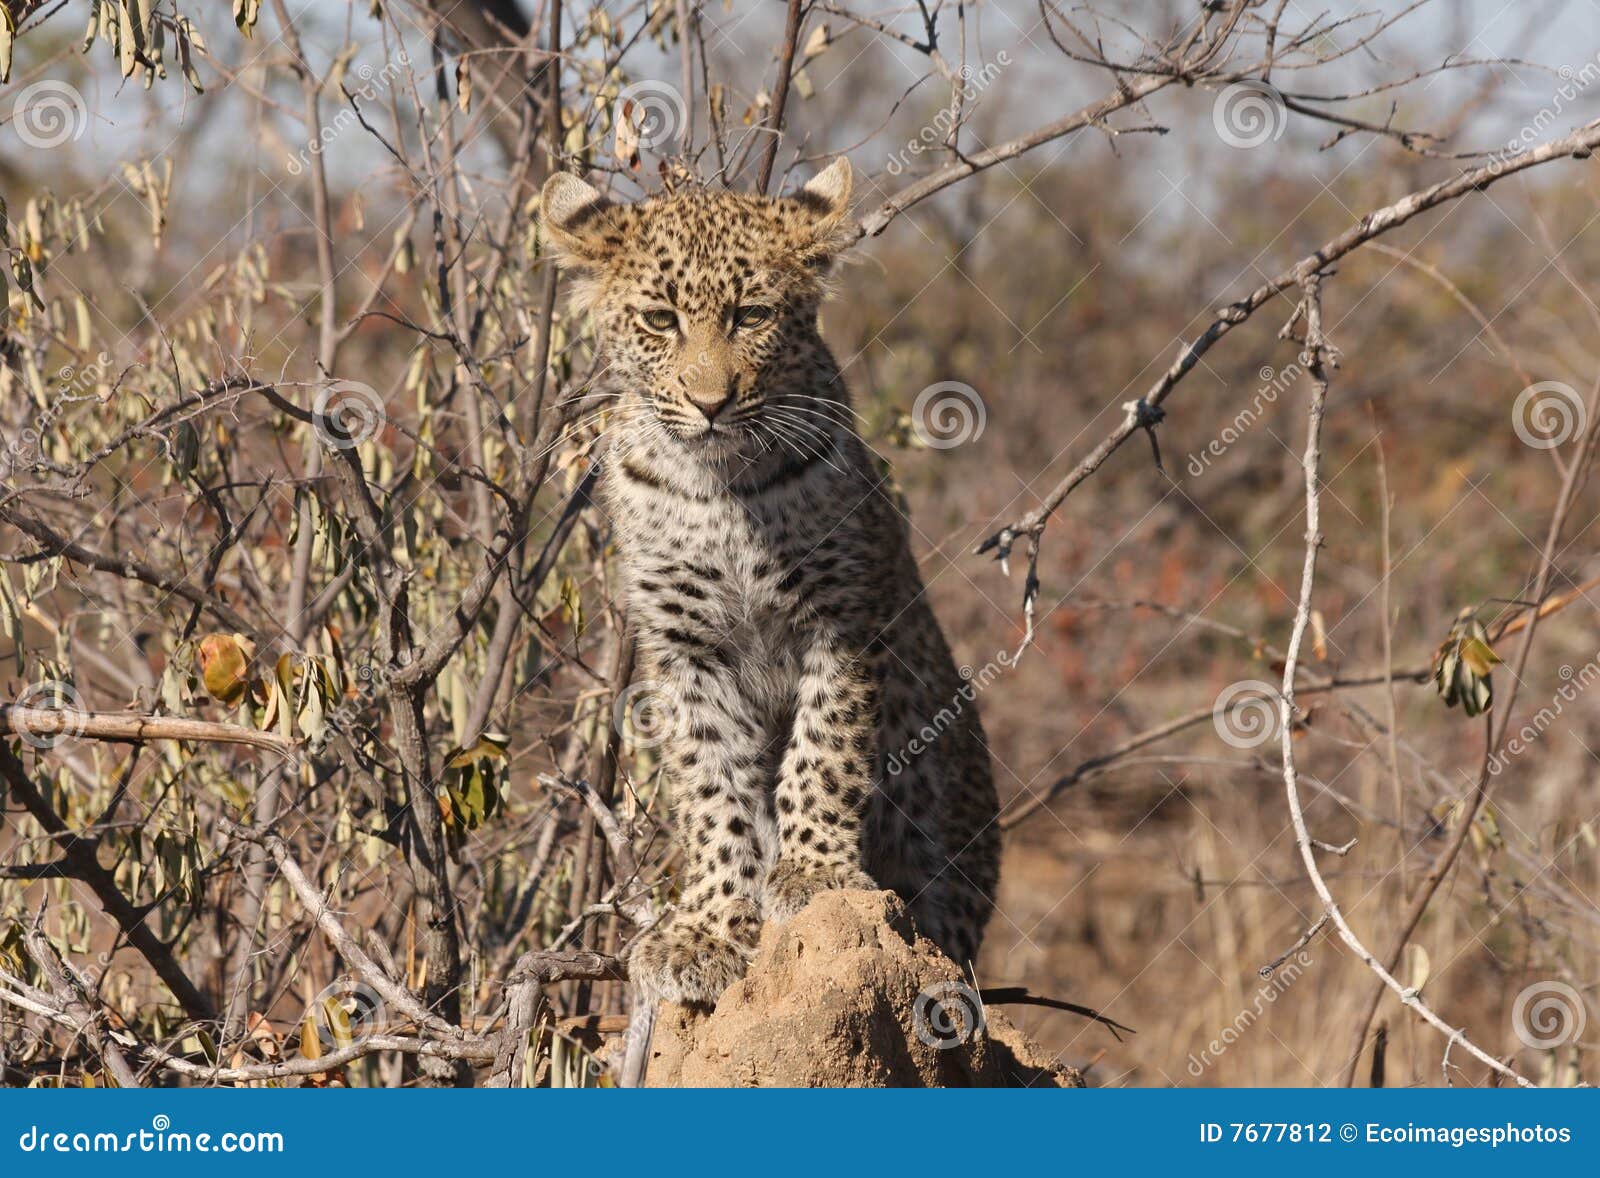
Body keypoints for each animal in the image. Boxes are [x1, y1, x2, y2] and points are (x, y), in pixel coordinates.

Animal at [540, 158, 1000, 1006]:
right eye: (659, 320)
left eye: (752, 315)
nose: (709, 402)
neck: (719, 488)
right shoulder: (685, 649)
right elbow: (712, 786)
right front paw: (711, 928)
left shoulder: (842, 619)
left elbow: (825, 749)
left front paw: (814, 871)